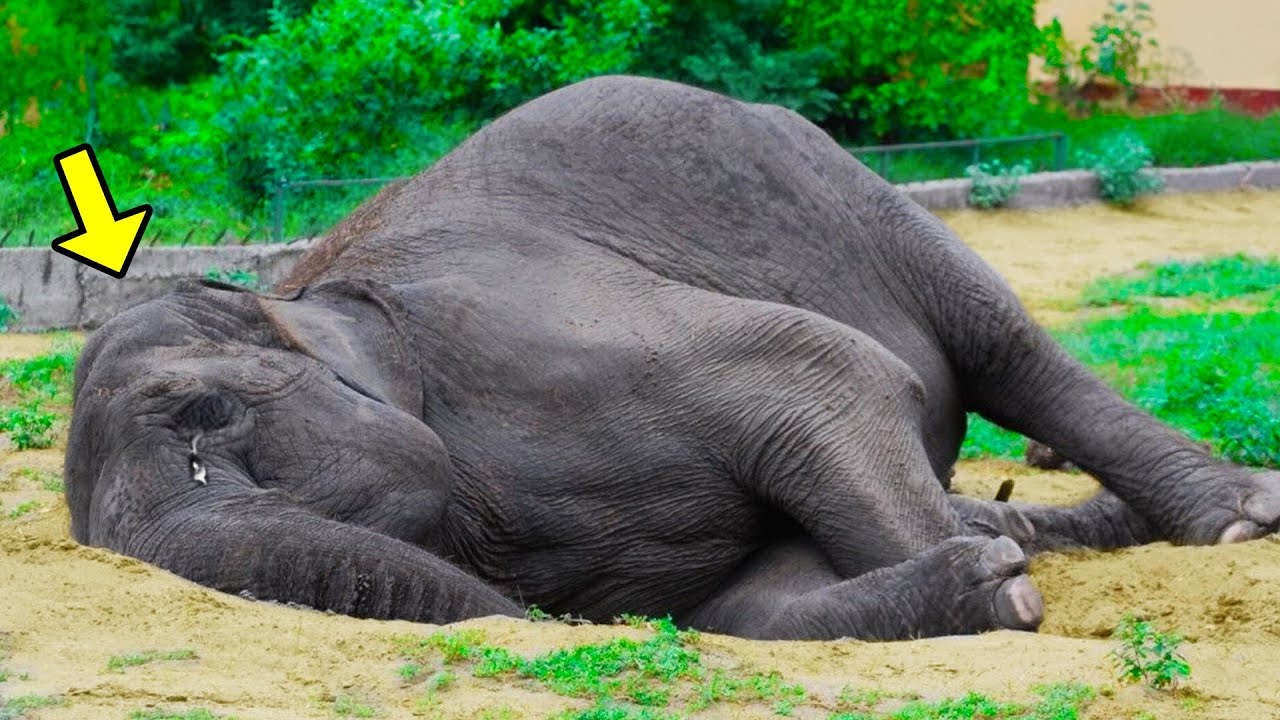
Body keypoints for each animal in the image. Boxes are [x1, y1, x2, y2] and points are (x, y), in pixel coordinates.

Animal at [65, 76, 1280, 641]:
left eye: (204, 417)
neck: (308, 297)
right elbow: (746, 605)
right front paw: (985, 579)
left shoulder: (528, 330)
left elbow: (820, 369)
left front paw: (1013, 599)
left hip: (853, 192)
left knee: (1007, 347)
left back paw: (1234, 519)